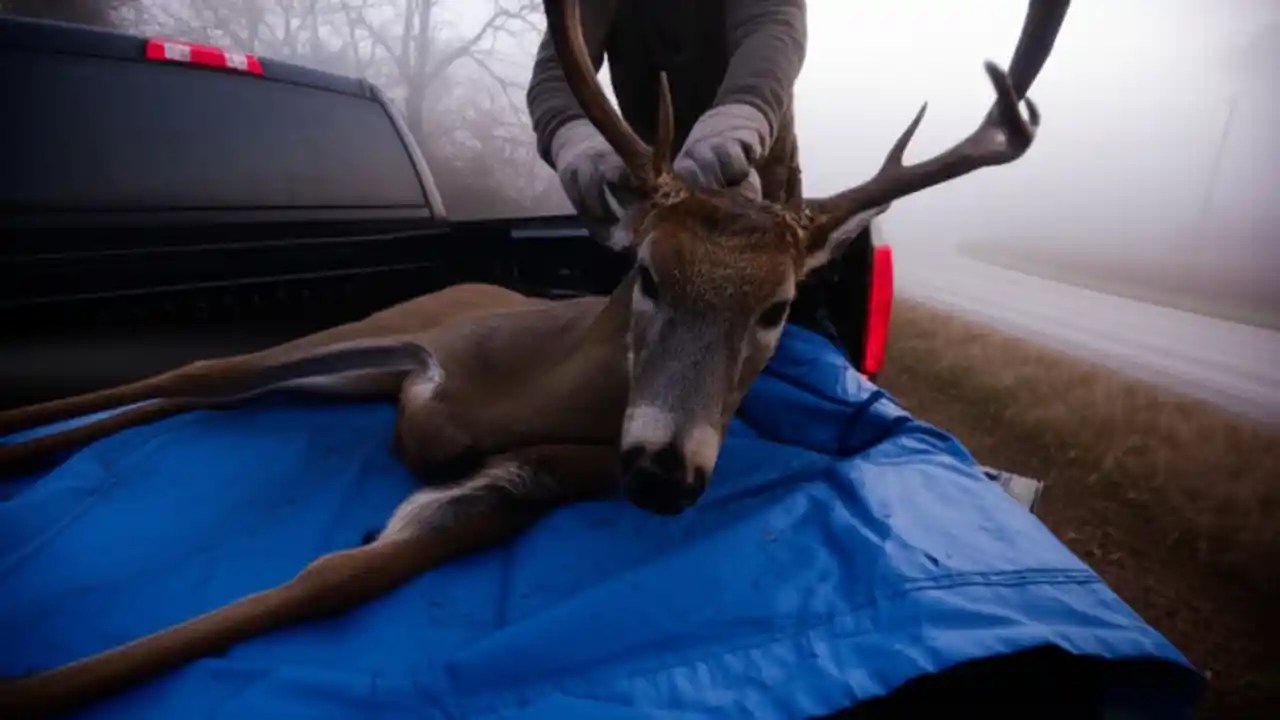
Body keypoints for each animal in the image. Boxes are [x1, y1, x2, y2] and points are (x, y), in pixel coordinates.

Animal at [0, 0, 1069, 716]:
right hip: (385, 322)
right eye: (647, 274)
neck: (538, 390)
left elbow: (334, 581)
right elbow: (202, 376)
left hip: (361, 373)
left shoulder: (537, 478)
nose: (665, 471)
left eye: (776, 309)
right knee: (198, 378)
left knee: (212, 400)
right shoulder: (434, 345)